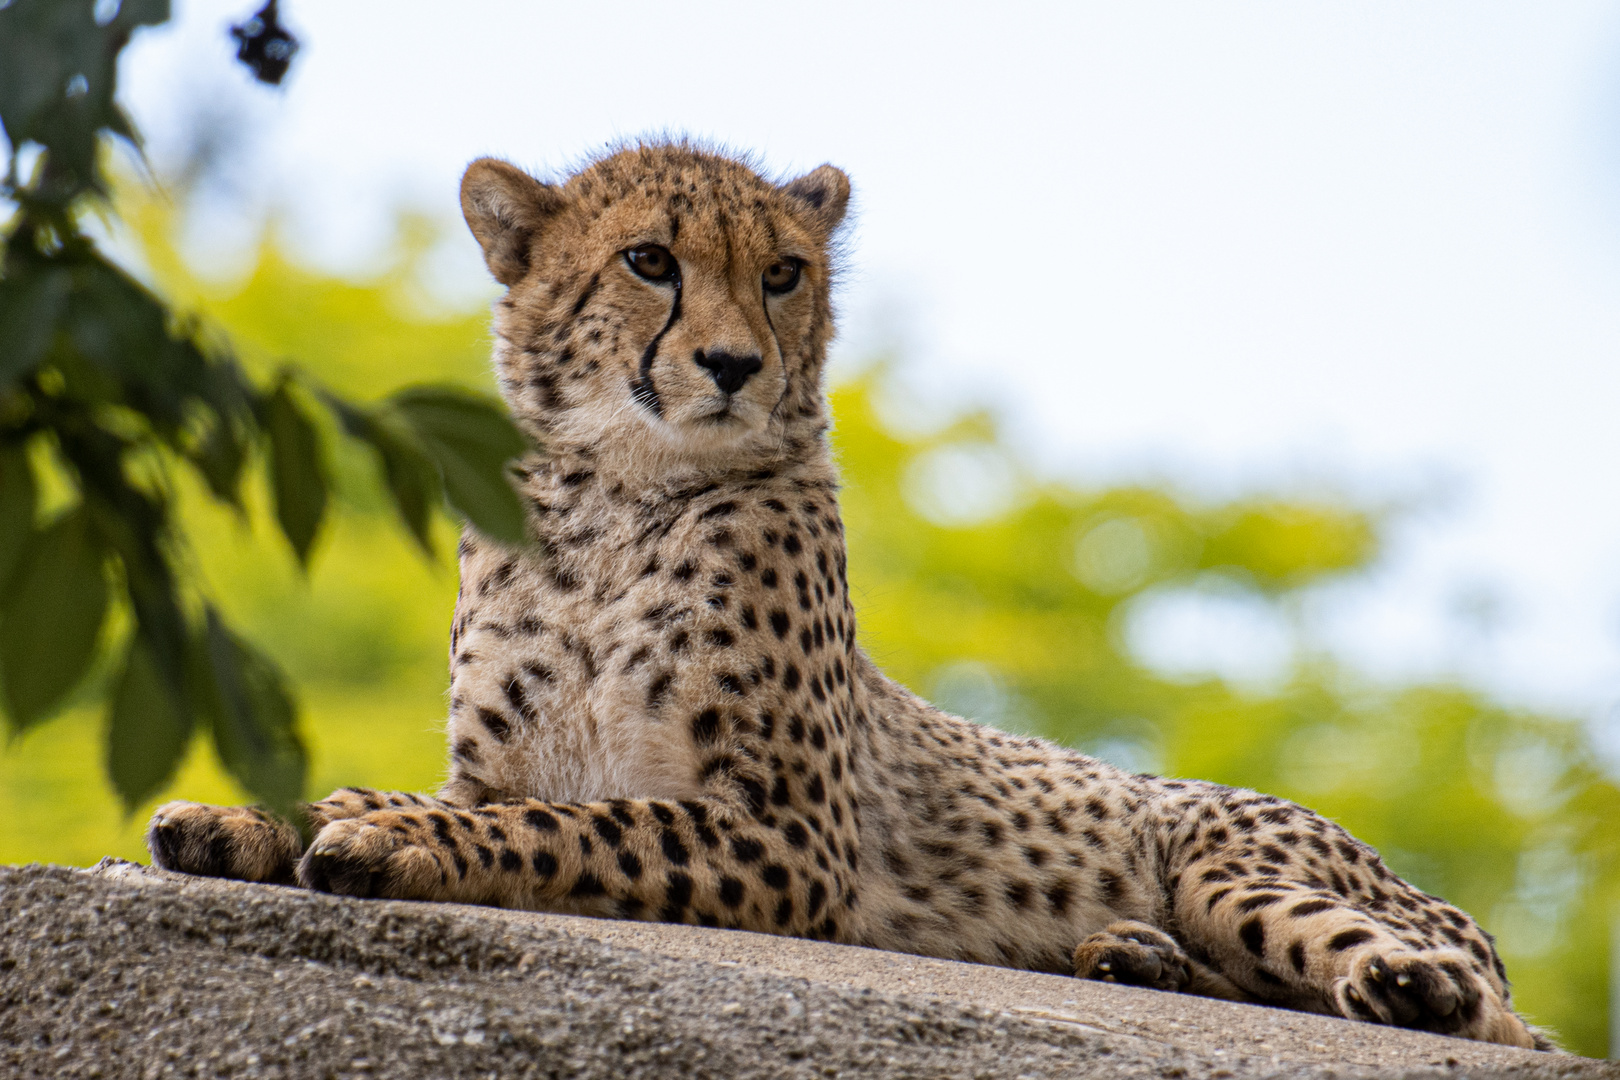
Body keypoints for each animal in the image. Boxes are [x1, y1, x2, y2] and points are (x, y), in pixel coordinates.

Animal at [149, 141, 1542, 1049]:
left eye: (782, 273)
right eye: (649, 260)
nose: (731, 364)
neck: (617, 493)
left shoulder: (784, 835)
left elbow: (563, 827)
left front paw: (392, 849)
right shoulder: (495, 771)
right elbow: (387, 792)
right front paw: (236, 821)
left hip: (1237, 866)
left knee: (1479, 1010)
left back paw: (1404, 988)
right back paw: (1130, 955)